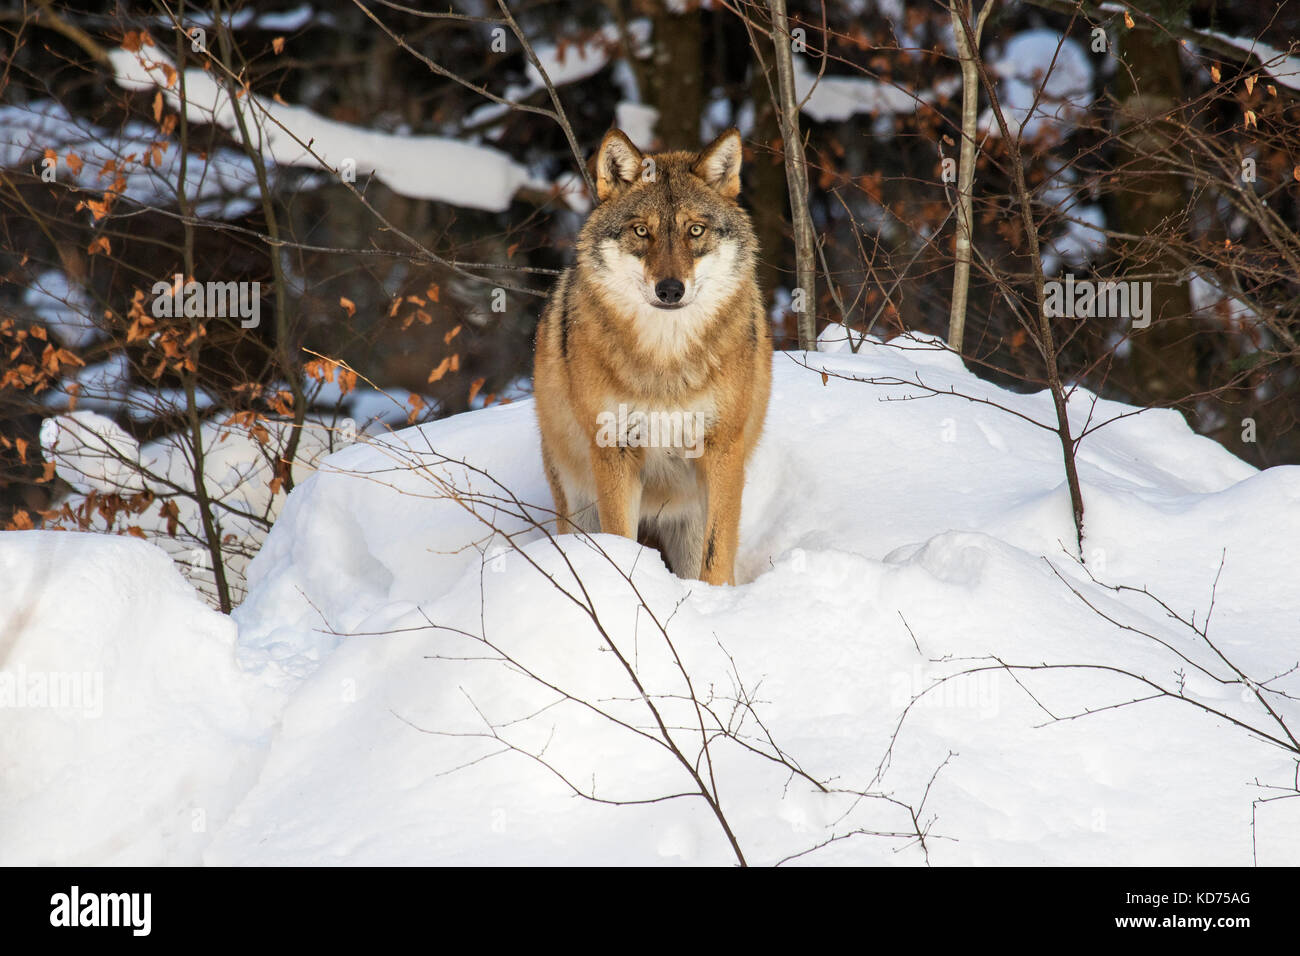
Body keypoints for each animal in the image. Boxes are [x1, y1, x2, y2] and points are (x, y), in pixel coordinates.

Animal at [532, 128, 771, 586]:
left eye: (695, 230)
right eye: (642, 231)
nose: (670, 289)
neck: (667, 359)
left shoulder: (722, 449)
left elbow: (717, 553)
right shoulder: (614, 448)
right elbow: (619, 537)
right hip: (575, 501)